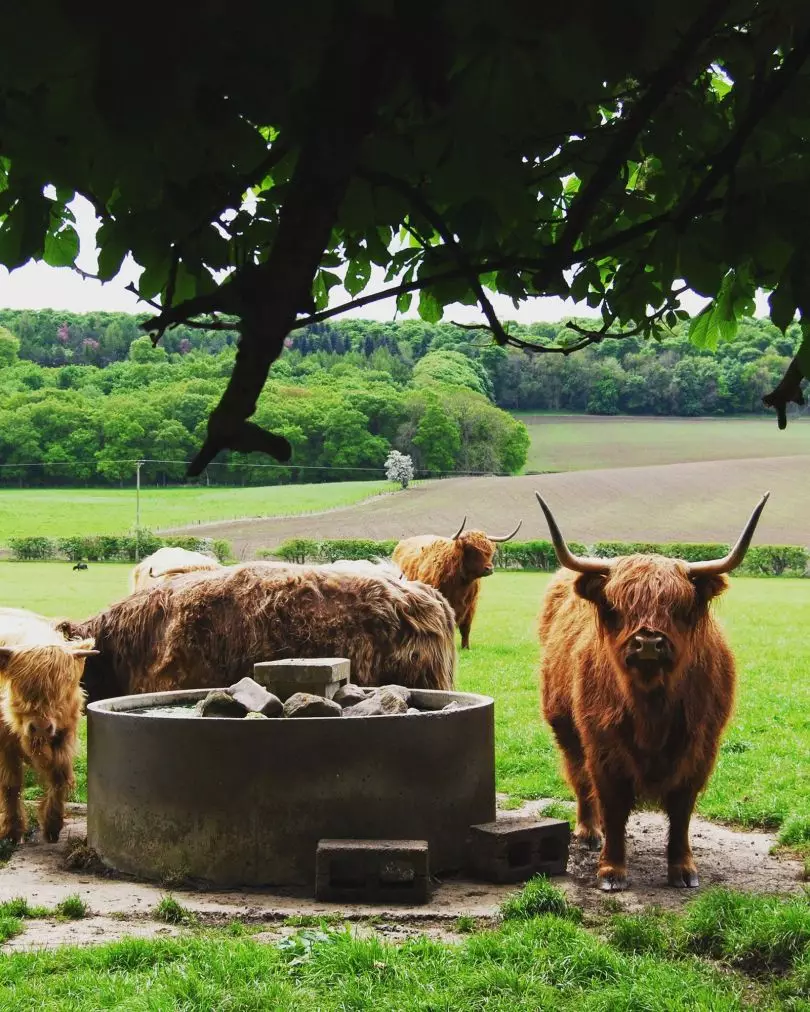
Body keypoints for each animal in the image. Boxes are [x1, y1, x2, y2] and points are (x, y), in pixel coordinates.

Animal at [0, 603, 96, 841]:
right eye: (22, 688)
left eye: (61, 689)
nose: (41, 728)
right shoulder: (4, 742)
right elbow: (10, 784)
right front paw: (12, 830)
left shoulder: (65, 734)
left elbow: (59, 776)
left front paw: (53, 824)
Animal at [390, 518, 518, 651]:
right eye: (472, 549)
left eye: (489, 551)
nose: (489, 568)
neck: (460, 584)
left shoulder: (470, 606)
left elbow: (466, 627)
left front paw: (466, 647)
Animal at [534, 489, 769, 894]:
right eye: (617, 605)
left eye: (678, 606)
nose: (647, 642)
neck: (651, 707)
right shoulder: (603, 745)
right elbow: (612, 804)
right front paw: (611, 870)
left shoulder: (700, 747)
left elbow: (682, 810)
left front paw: (683, 869)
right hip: (564, 727)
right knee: (579, 778)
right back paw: (588, 831)